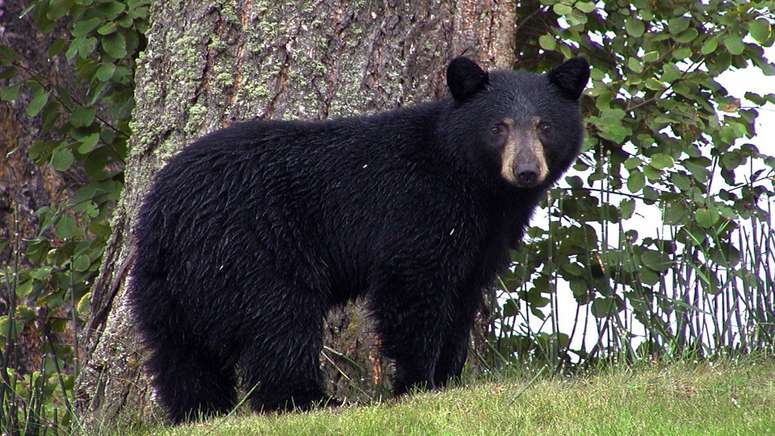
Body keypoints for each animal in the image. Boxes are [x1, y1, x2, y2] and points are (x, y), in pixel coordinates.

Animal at [128, 56, 589, 423]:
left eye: (544, 126)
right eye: (498, 127)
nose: (526, 171)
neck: (474, 184)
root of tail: (165, 213)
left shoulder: (482, 240)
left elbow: (462, 298)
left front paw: (448, 379)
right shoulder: (419, 209)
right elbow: (412, 289)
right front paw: (417, 384)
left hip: (165, 284)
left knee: (180, 353)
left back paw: (199, 412)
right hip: (252, 249)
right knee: (279, 323)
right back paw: (310, 401)